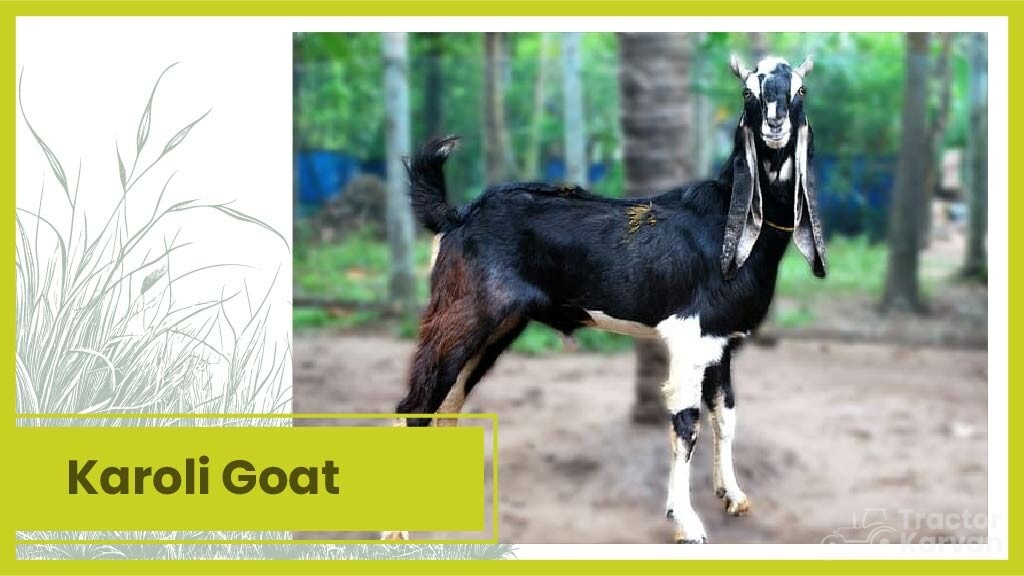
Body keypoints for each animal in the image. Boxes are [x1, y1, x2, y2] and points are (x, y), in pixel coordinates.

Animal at [384, 55, 826, 544]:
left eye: (801, 90)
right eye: (749, 91)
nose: (775, 123)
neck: (726, 220)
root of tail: (457, 216)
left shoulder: (720, 338)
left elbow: (724, 415)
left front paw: (733, 497)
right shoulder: (689, 334)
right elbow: (686, 423)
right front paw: (686, 522)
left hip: (497, 326)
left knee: (450, 401)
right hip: (462, 311)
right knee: (414, 406)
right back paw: (395, 533)